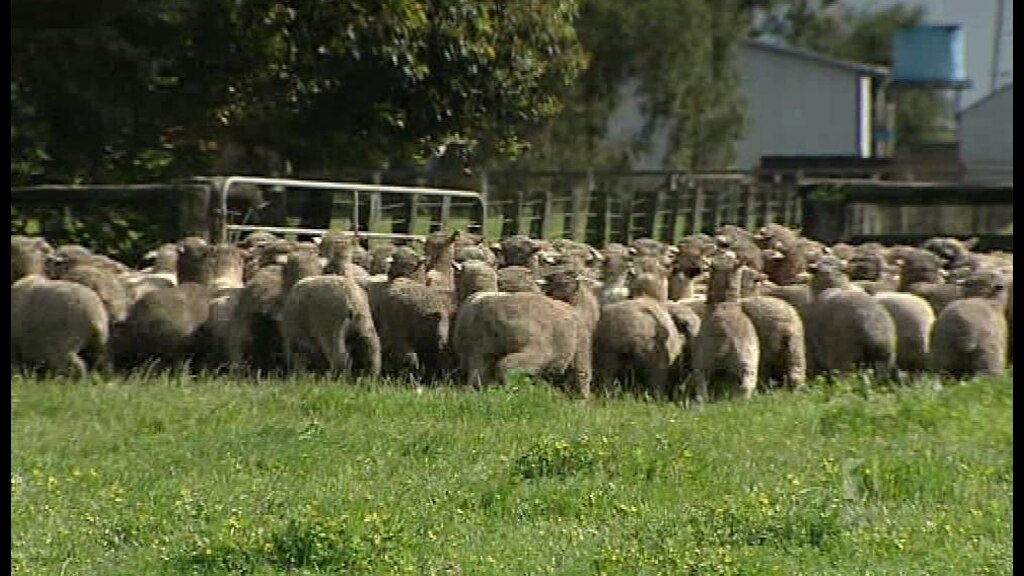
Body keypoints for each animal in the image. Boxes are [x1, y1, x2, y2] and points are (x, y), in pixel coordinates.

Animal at [690, 251, 760, 403]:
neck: (724, 304)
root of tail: (724, 335)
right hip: (746, 360)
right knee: (746, 386)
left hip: (702, 361)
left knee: (701, 390)